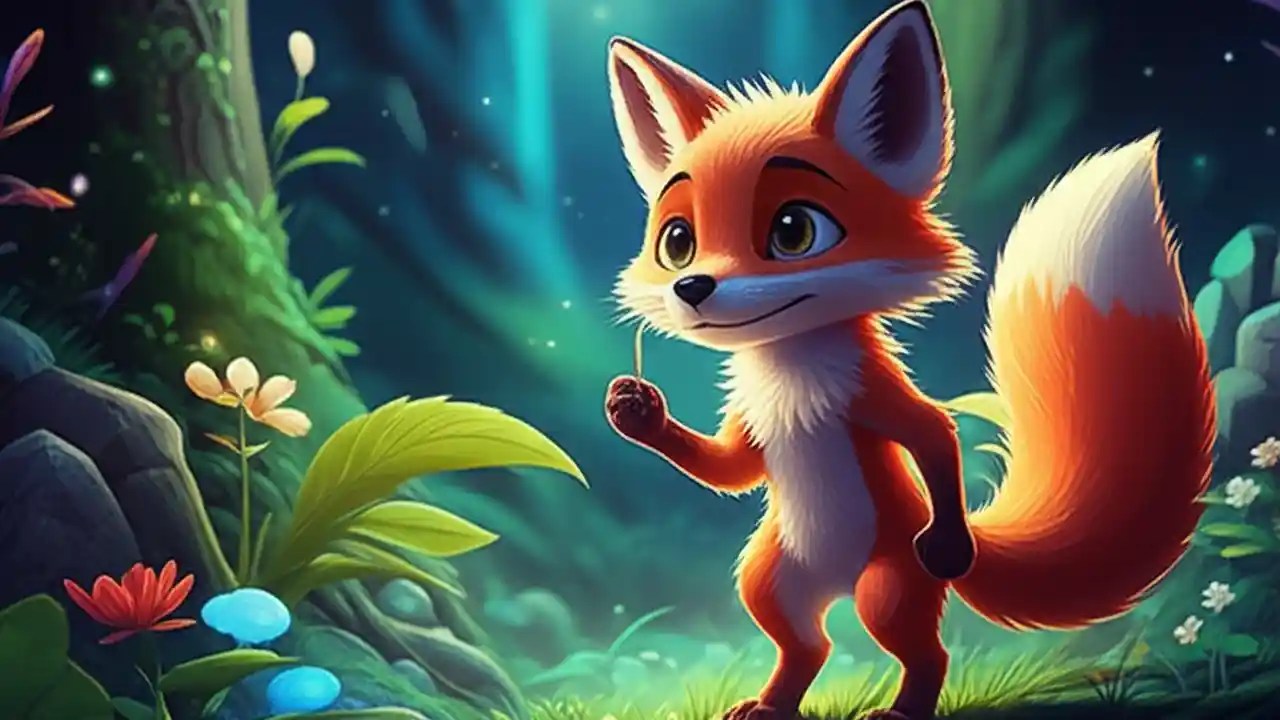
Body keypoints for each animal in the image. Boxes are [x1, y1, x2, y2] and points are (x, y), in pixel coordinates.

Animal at [601, 1, 1216, 719]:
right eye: (677, 242)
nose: (693, 287)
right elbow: (730, 470)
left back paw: (902, 704)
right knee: (808, 645)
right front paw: (638, 415)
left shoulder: (875, 395)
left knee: (926, 652)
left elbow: (933, 431)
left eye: (793, 231)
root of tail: (836, 584)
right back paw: (771, 704)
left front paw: (948, 543)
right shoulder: (752, 423)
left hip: (889, 588)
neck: (788, 370)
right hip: (767, 577)